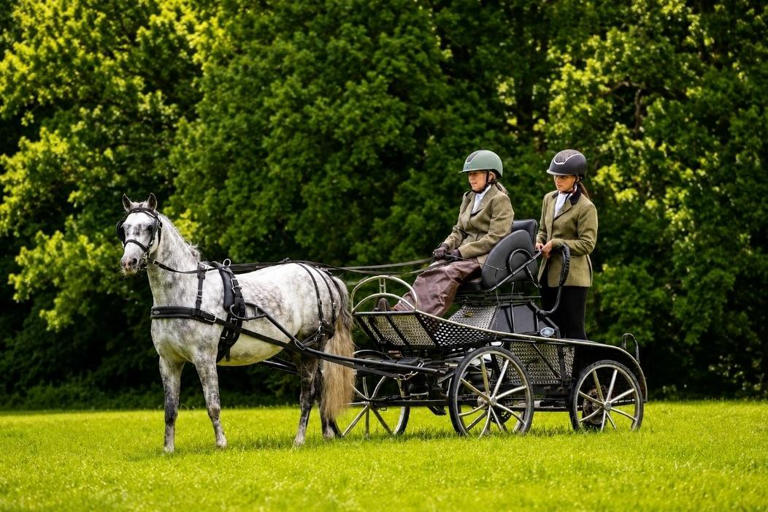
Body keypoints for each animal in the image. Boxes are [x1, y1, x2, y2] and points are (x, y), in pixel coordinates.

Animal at [117, 193, 355, 452]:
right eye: (124, 229)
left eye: (149, 227)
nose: (128, 262)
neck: (186, 292)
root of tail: (323, 275)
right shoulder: (168, 361)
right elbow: (170, 410)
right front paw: (168, 449)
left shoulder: (204, 358)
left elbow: (213, 404)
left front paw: (221, 443)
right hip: (298, 348)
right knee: (322, 387)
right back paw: (327, 433)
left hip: (311, 345)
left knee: (308, 394)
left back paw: (299, 439)